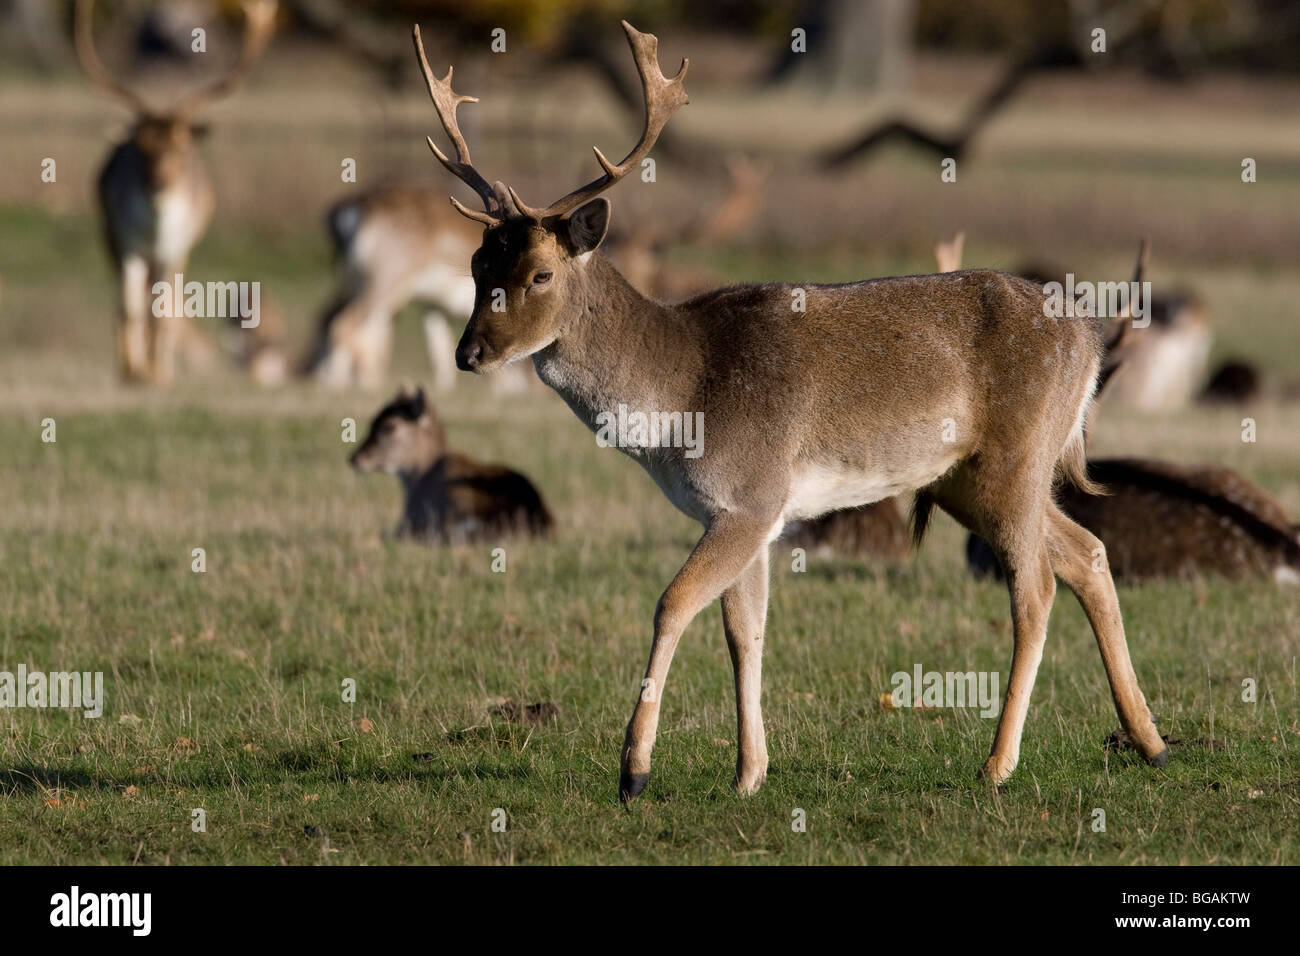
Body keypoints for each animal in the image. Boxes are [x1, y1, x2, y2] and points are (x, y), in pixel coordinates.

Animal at [76, 0, 278, 385]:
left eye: (180, 146)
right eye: (140, 148)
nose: (158, 184)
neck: (155, 233)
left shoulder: (175, 249)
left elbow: (161, 312)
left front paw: (157, 375)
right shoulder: (127, 244)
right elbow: (129, 308)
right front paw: (133, 372)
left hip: (182, 251)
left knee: (168, 307)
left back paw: (163, 368)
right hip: (110, 236)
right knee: (131, 304)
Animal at [411, 20, 1170, 801]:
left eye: (539, 274)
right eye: (476, 265)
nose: (471, 353)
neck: (680, 396)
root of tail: (1089, 341)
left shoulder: (752, 494)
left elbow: (671, 604)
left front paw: (635, 770)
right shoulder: (742, 513)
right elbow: (745, 631)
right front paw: (750, 773)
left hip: (1016, 456)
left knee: (1036, 586)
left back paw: (997, 764)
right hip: (969, 477)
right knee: (1087, 553)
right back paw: (1150, 742)